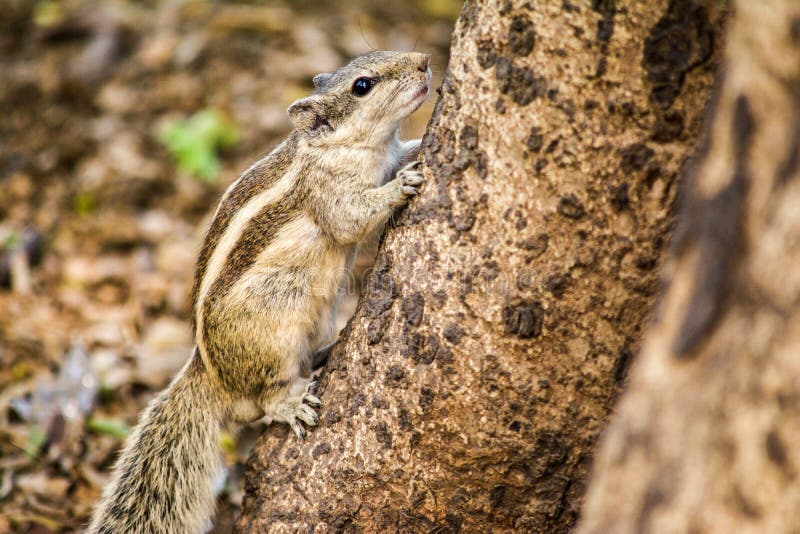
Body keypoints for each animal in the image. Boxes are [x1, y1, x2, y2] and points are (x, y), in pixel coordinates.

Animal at [88, 50, 431, 533]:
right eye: (362, 85)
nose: (424, 61)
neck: (334, 147)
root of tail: (211, 377)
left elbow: (404, 151)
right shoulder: (327, 192)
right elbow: (352, 219)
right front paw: (400, 186)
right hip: (272, 337)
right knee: (260, 403)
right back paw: (291, 404)